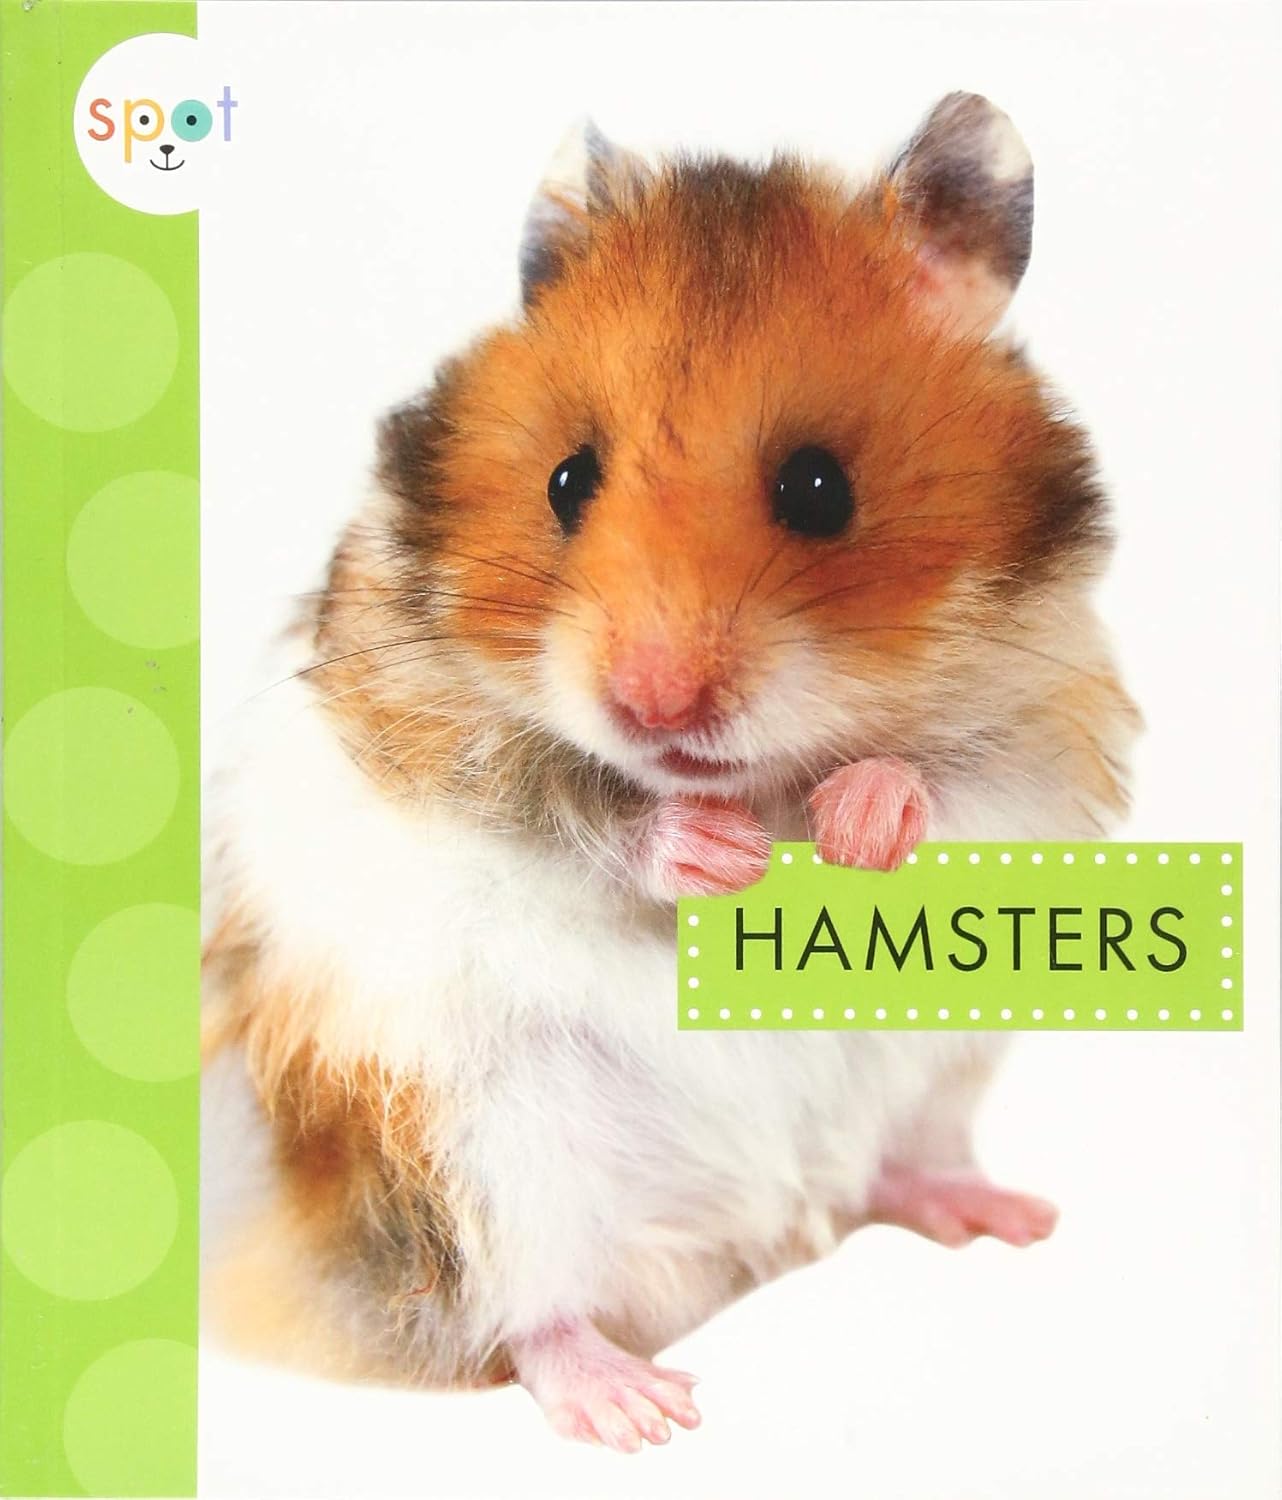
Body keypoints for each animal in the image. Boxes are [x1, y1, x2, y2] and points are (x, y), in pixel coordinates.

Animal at [202, 93, 1140, 1452]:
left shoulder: (1047, 714)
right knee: (526, 1318)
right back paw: (636, 1411)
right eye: (566, 479)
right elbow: (566, 809)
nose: (651, 704)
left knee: (890, 1170)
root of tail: (750, 1247)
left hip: (935, 1072)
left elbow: (946, 780)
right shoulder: (423, 726)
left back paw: (1005, 1217)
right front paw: (722, 853)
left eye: (818, 487)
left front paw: (851, 823)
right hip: (478, 1152)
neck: (752, 770)